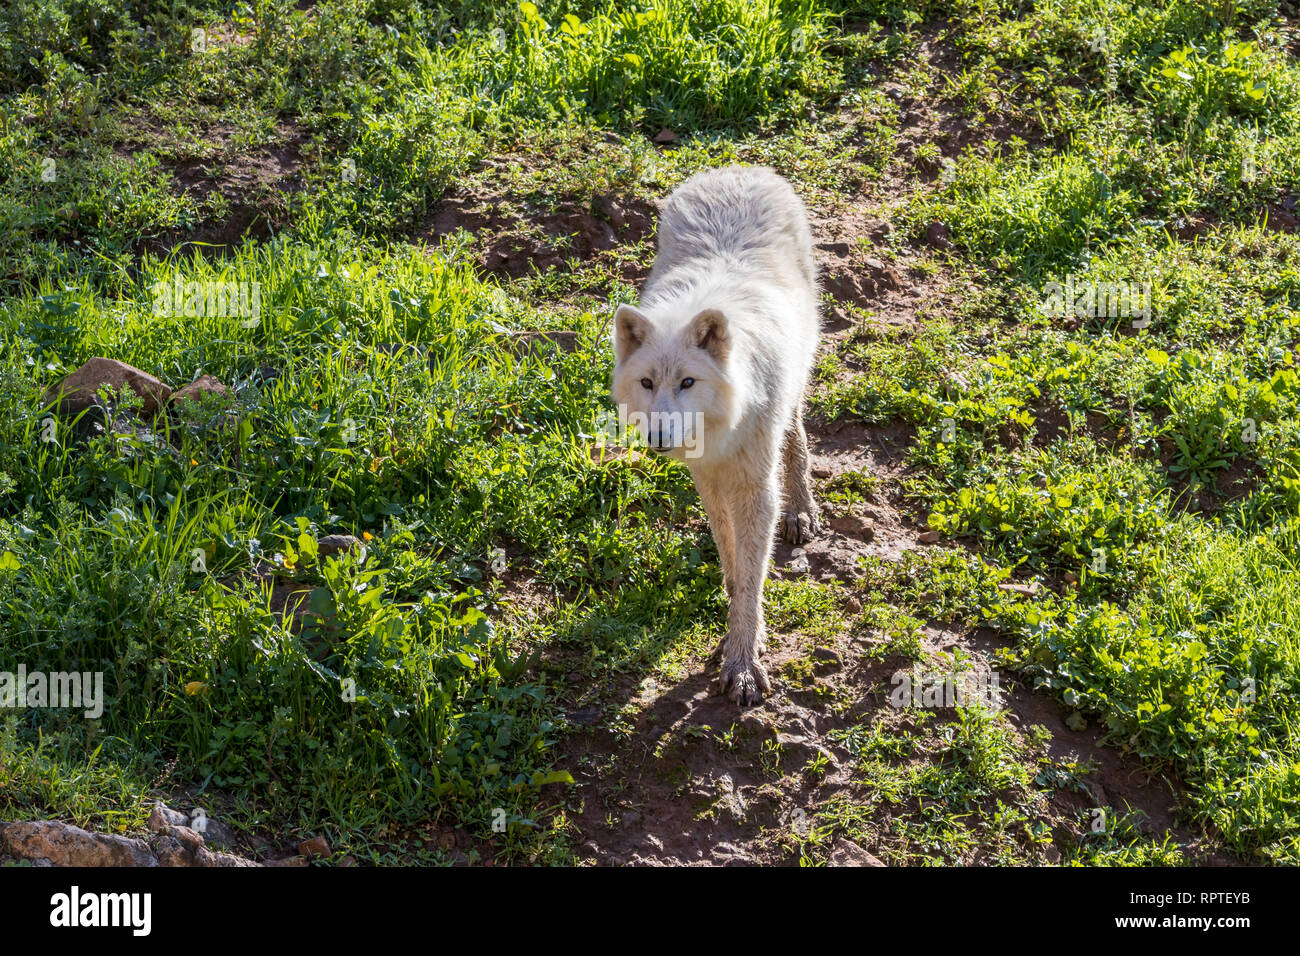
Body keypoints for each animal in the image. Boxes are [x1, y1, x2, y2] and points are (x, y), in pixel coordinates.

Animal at [610, 166, 821, 705]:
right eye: (647, 383)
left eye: (688, 382)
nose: (659, 437)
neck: (725, 426)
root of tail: (739, 168)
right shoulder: (707, 475)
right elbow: (728, 549)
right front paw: (734, 623)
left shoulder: (755, 486)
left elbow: (752, 573)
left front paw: (743, 659)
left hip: (796, 379)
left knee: (796, 433)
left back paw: (801, 510)